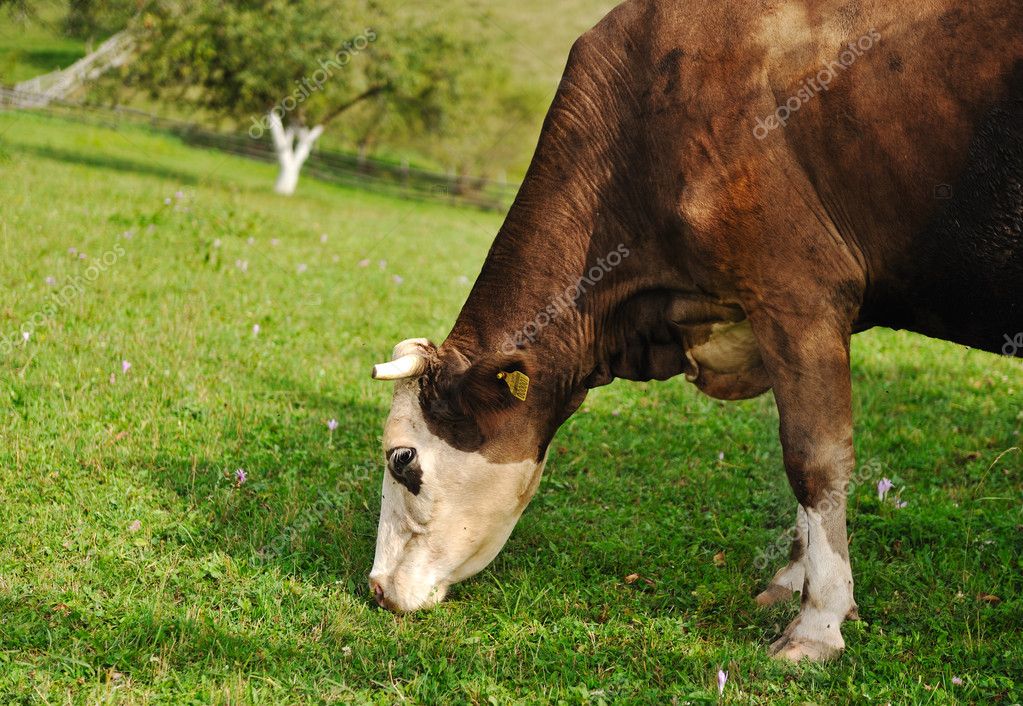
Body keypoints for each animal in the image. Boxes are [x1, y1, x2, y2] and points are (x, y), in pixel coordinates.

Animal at [367, 0, 1022, 661]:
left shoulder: (799, 289)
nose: (376, 588)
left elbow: (814, 459)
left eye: (402, 460)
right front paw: (793, 581)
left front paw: (818, 625)